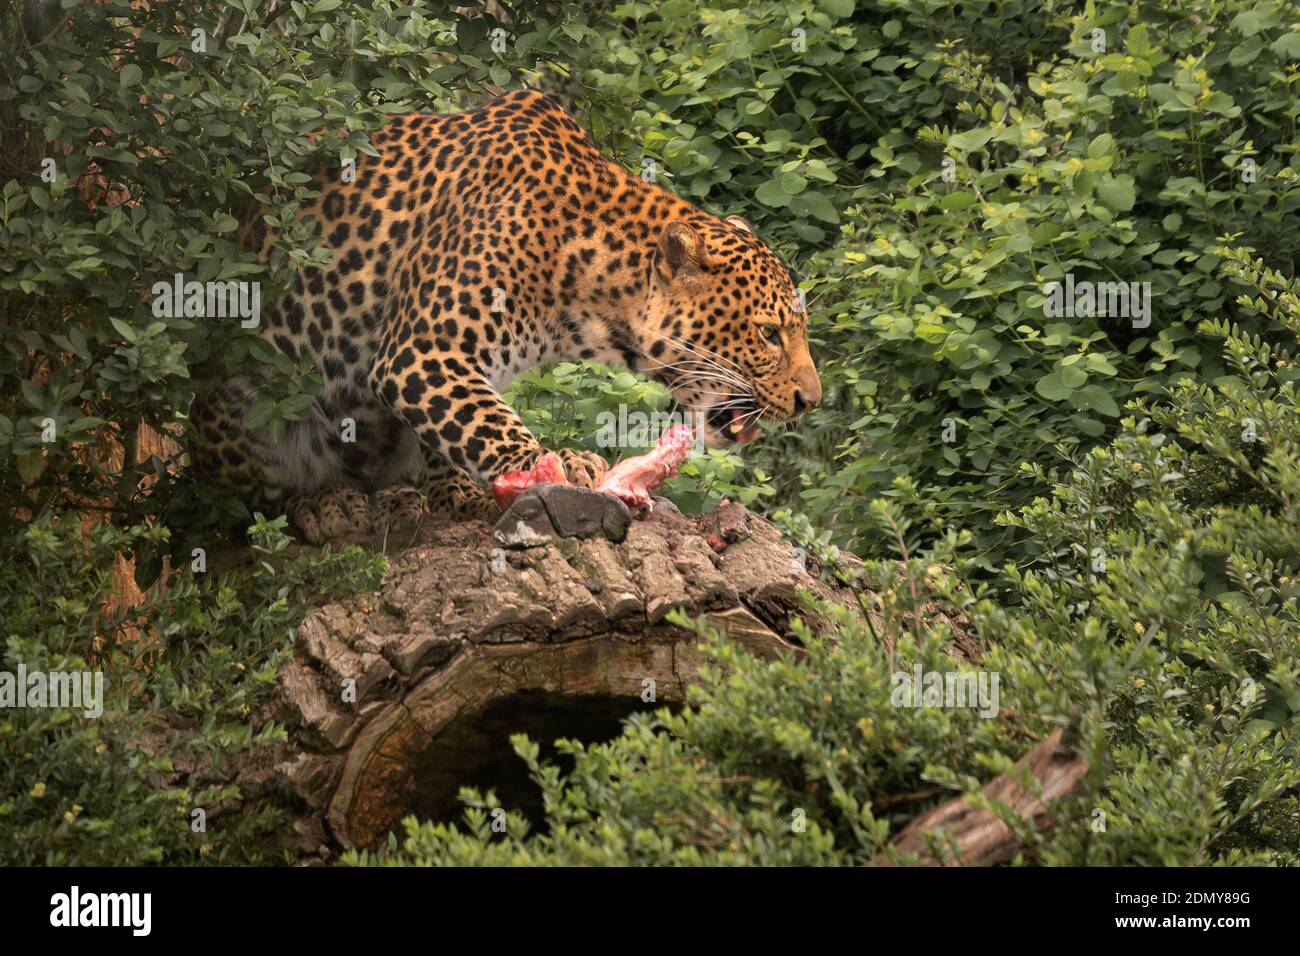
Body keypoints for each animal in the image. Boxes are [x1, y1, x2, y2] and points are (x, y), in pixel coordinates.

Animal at [190, 90, 821, 544]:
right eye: (768, 333)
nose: (809, 402)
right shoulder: (422, 350)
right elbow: (485, 423)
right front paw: (541, 474)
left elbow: (454, 429)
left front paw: (480, 487)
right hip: (245, 405)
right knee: (256, 502)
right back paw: (328, 503)